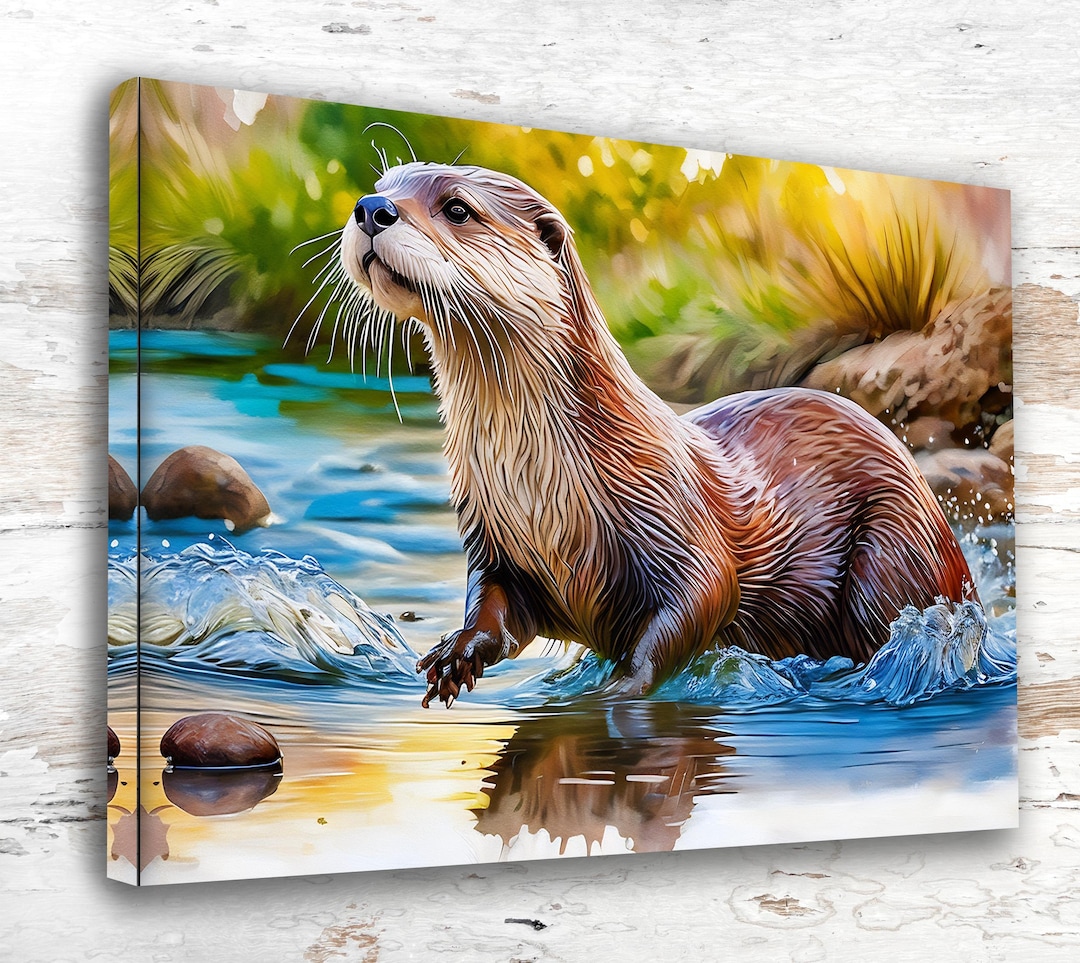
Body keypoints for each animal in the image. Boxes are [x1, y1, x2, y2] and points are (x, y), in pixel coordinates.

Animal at [336, 162, 977, 707]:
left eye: (457, 208)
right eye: (384, 184)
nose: (371, 208)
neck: (541, 485)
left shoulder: (671, 515)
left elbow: (707, 595)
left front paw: (617, 687)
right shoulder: (495, 539)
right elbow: (496, 610)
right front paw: (457, 653)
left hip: (893, 549)